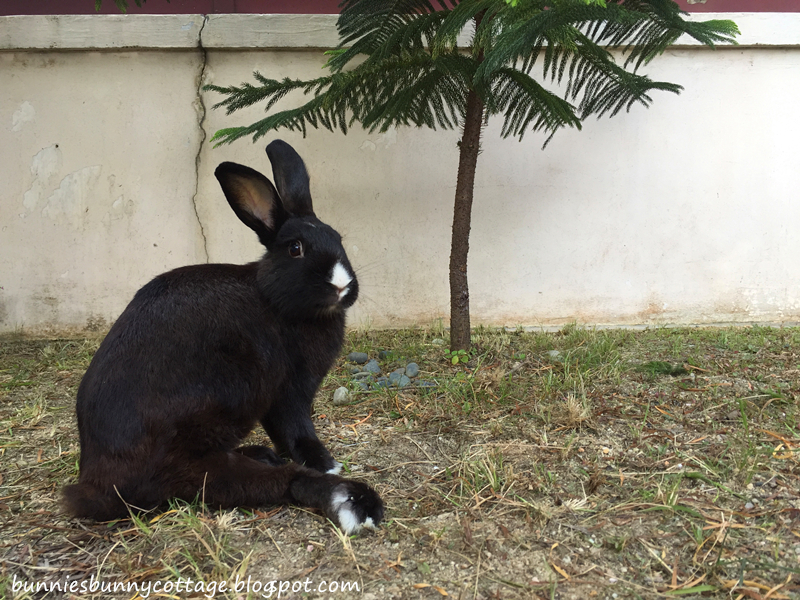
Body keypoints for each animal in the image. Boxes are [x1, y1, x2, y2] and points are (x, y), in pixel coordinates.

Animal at [62, 140, 383, 535]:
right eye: (296, 249)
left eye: (338, 239)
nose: (342, 285)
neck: (275, 300)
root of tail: (96, 486)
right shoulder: (288, 390)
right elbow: (296, 429)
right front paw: (325, 461)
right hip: (204, 425)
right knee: (242, 481)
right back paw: (349, 497)